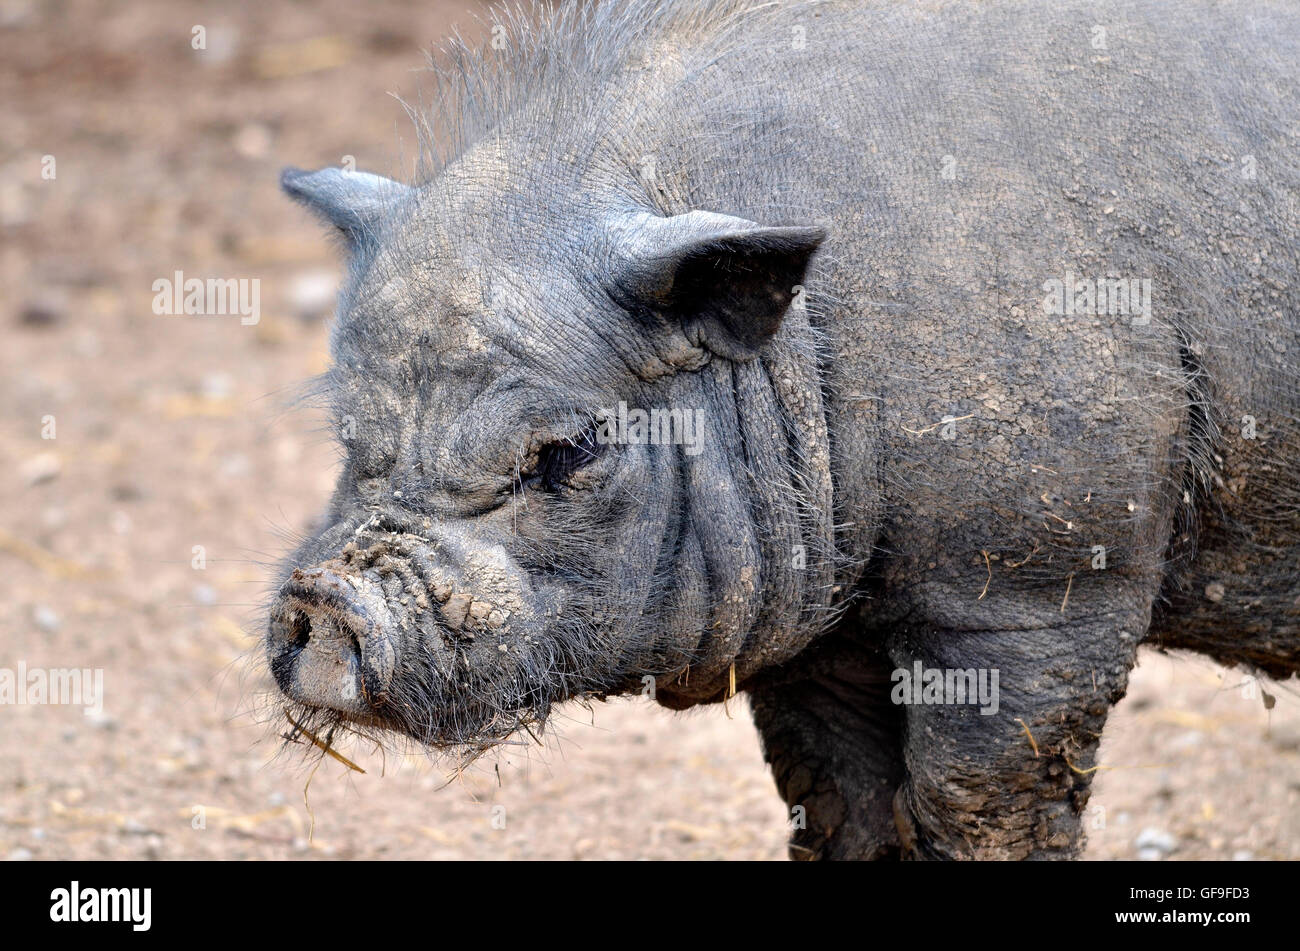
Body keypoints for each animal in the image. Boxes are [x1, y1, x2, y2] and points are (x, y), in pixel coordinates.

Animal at [270, 0, 1300, 859]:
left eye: (564, 450)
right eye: (351, 437)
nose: (324, 598)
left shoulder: (1042, 584)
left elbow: (980, 802)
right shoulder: (821, 640)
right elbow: (841, 801)